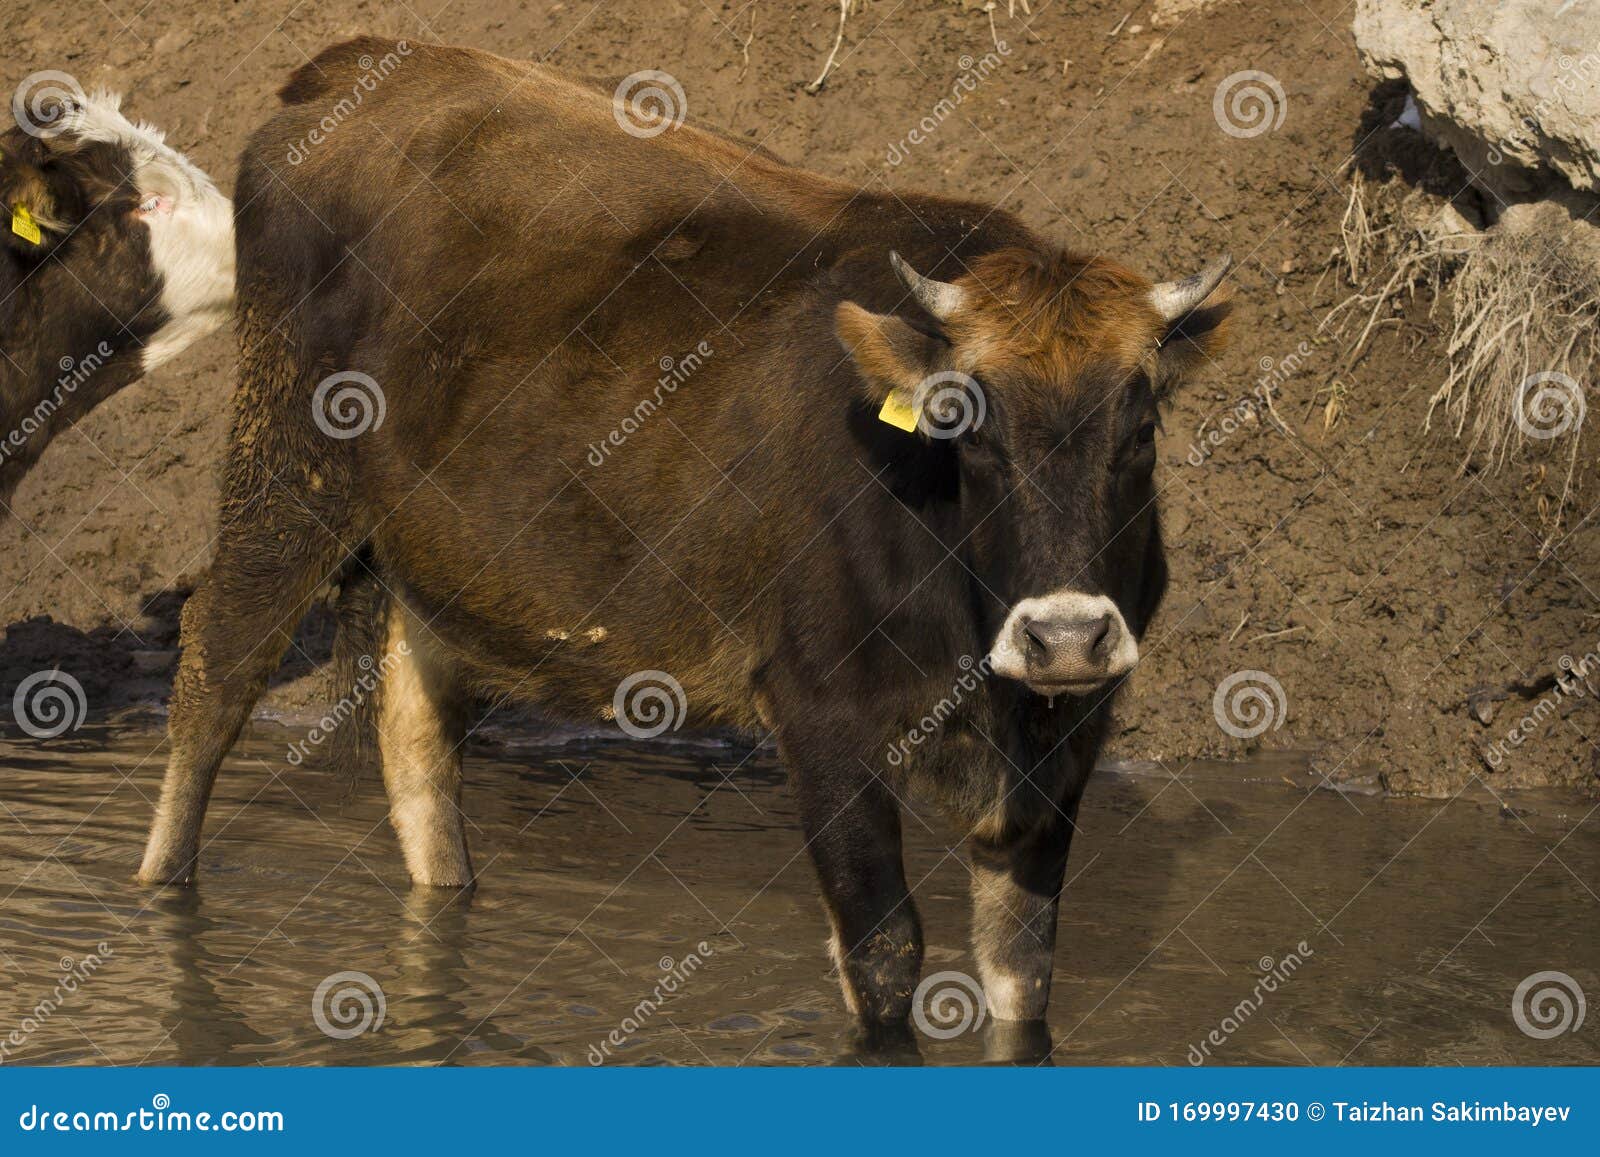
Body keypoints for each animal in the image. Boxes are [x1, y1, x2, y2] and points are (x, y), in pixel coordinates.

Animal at [135, 37, 1230, 1032]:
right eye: (967, 423)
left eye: (1140, 429)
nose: (1065, 635)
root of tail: (366, 61)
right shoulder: (822, 717)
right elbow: (885, 956)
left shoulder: (1061, 751)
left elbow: (1023, 976)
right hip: (286, 468)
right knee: (214, 673)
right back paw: (158, 891)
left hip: (426, 558)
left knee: (416, 738)